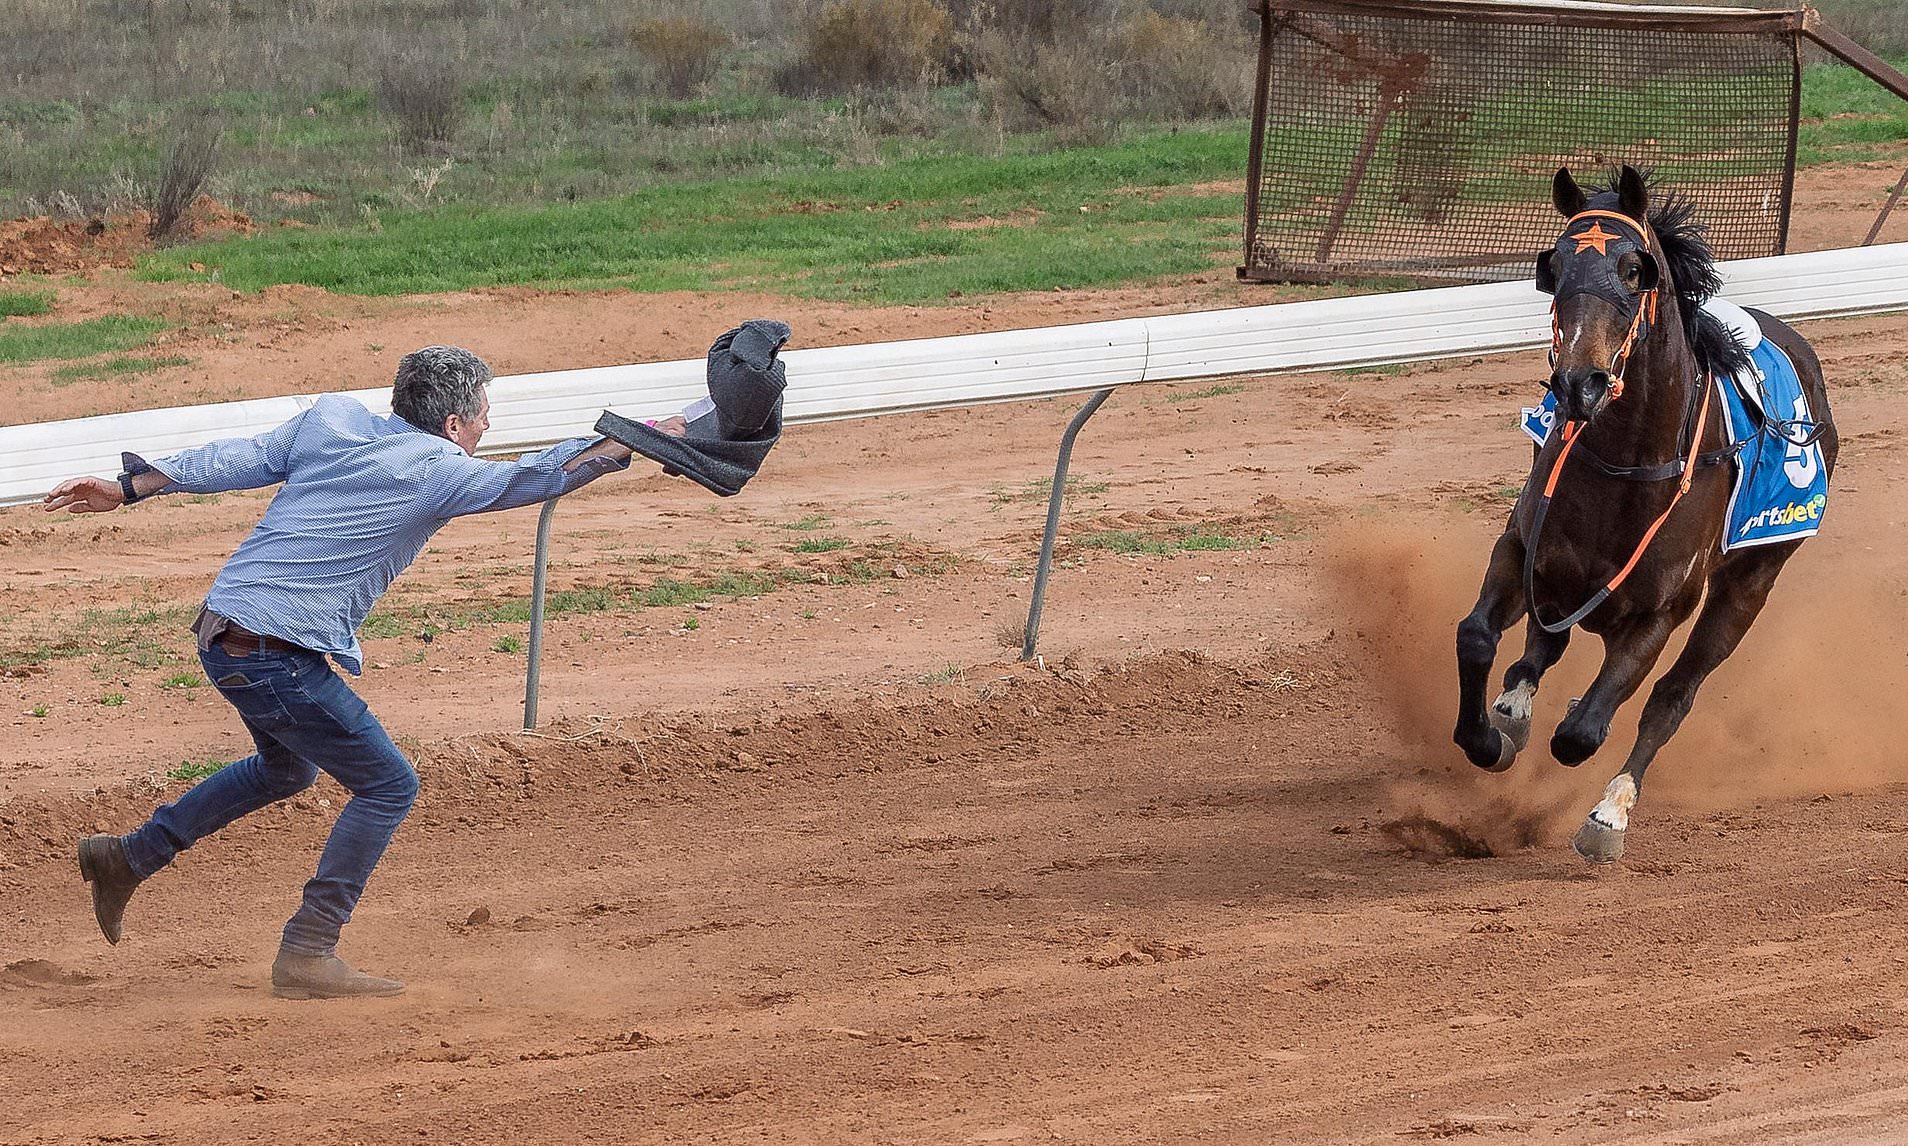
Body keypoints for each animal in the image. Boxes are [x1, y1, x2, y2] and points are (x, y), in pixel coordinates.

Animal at [1451, 165, 1837, 863]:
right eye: (1553, 264)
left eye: (1635, 269)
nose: (1578, 383)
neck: (1626, 465)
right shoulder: (1523, 550)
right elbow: (1477, 636)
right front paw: (1493, 735)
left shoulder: (1662, 609)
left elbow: (1585, 731)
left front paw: (1599, 802)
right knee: (1544, 646)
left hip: (1750, 584)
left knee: (1671, 697)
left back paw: (1610, 807)